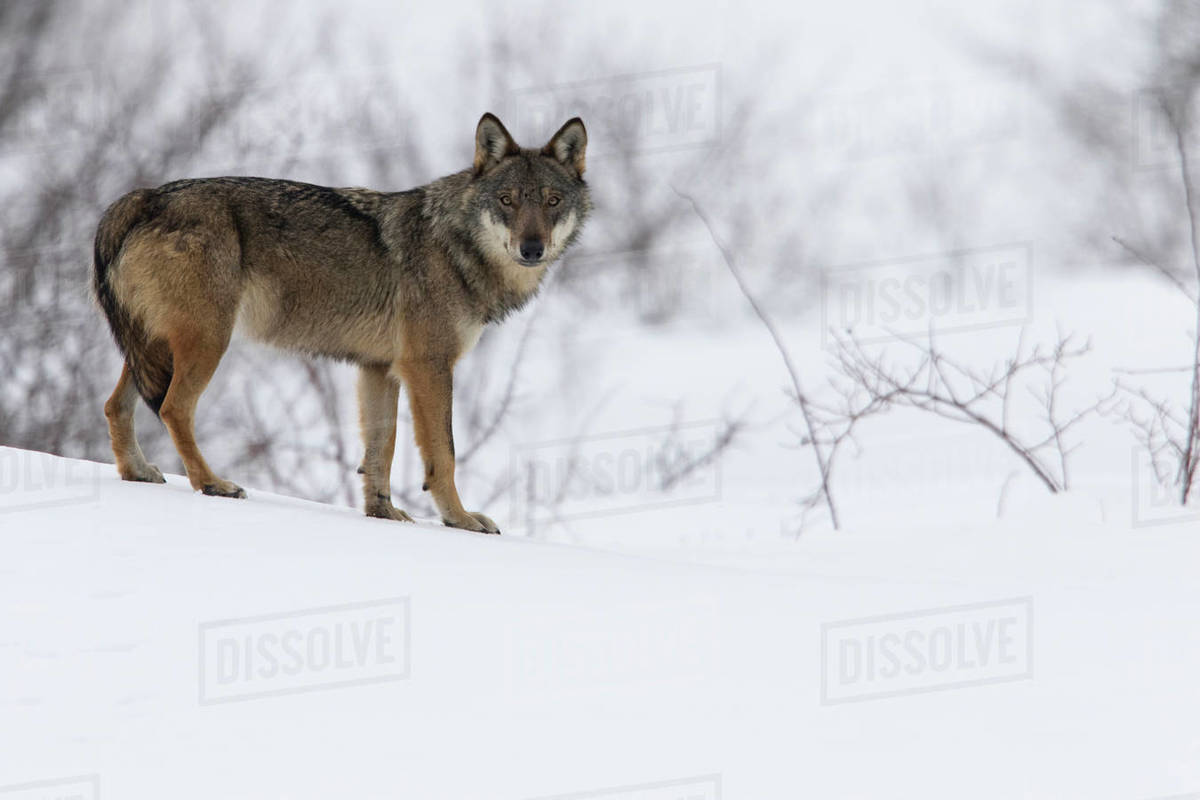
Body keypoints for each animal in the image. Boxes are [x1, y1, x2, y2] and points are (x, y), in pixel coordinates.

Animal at [92, 113, 589, 533]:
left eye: (552, 202)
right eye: (507, 201)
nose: (532, 248)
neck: (455, 246)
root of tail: (144, 196)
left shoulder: (380, 369)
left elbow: (381, 449)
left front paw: (383, 514)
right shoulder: (428, 367)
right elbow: (442, 455)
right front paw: (460, 520)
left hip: (155, 348)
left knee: (115, 405)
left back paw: (137, 472)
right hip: (208, 342)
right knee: (173, 409)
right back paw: (213, 484)